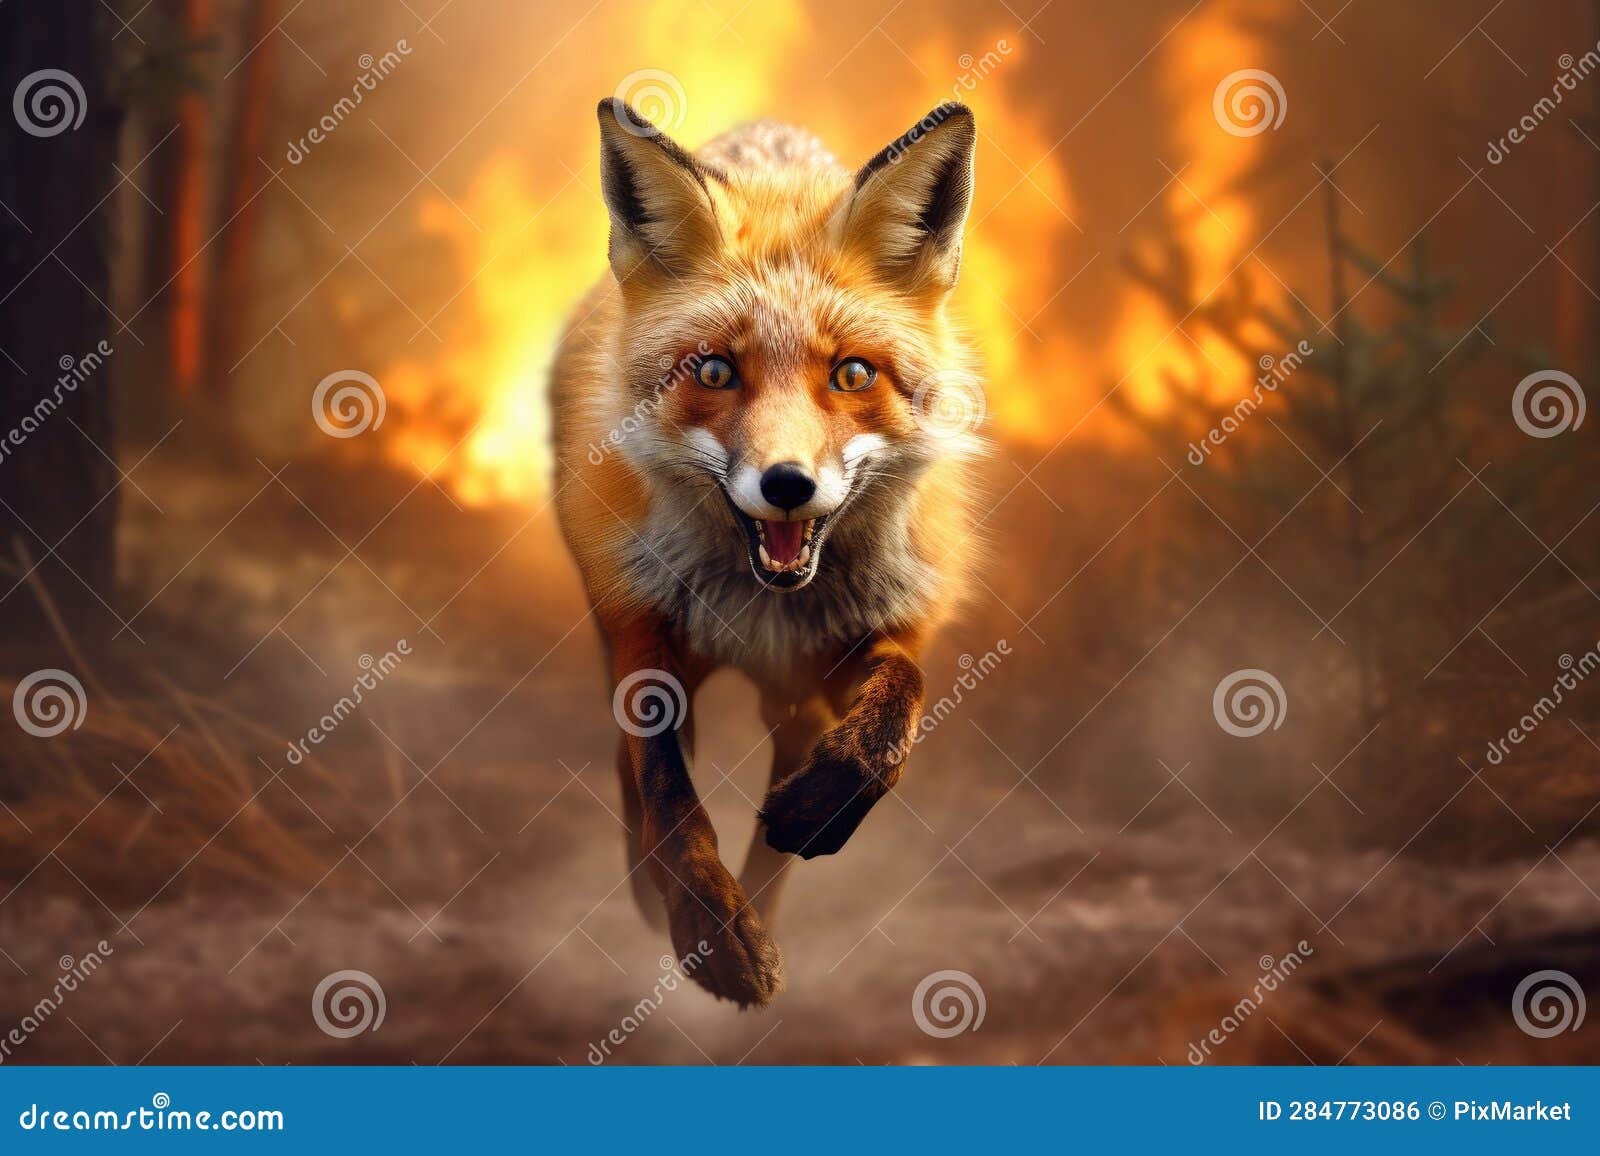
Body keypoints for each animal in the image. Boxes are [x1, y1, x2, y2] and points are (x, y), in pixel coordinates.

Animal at [549, 96, 986, 1008]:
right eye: (715, 369)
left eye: (853, 374)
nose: (788, 484)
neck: (766, 603)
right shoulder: (643, 625)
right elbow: (665, 788)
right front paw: (707, 929)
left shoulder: (880, 625)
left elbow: (895, 713)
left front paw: (812, 812)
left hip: (799, 688)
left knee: (801, 734)